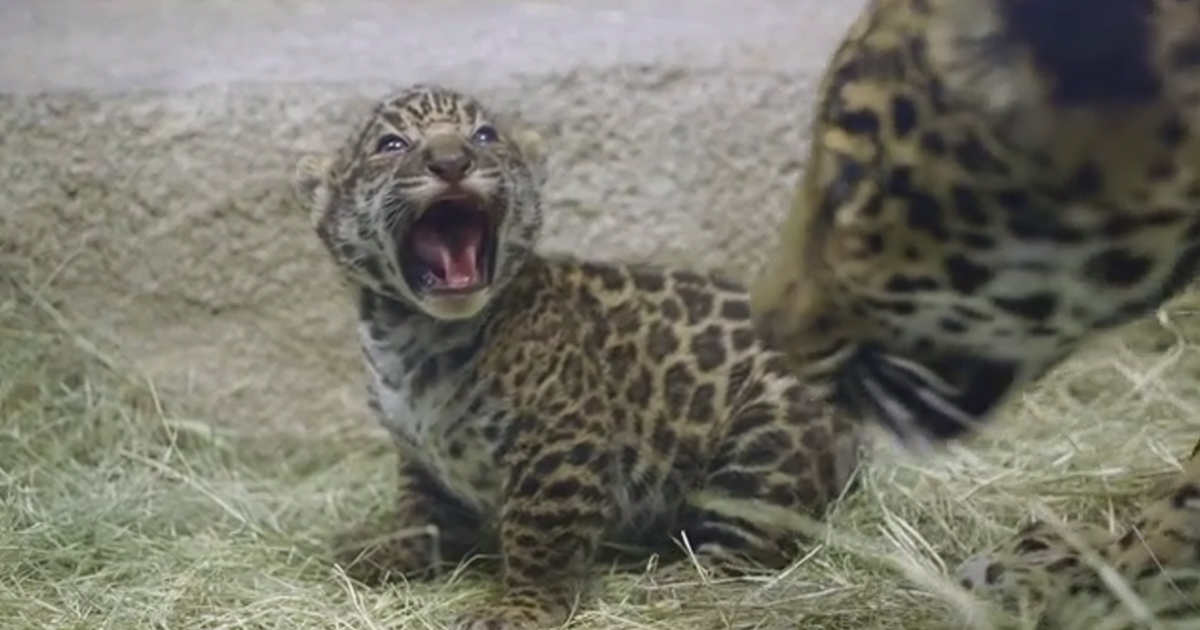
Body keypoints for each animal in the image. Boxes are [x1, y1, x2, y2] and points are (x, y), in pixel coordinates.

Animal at [291, 83, 866, 630]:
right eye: (391, 145)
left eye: (484, 136)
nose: (452, 162)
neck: (411, 336)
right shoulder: (420, 456)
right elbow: (421, 514)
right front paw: (384, 551)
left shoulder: (558, 437)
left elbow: (538, 532)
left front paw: (520, 608)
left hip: (766, 441)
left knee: (748, 544)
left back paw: (673, 585)